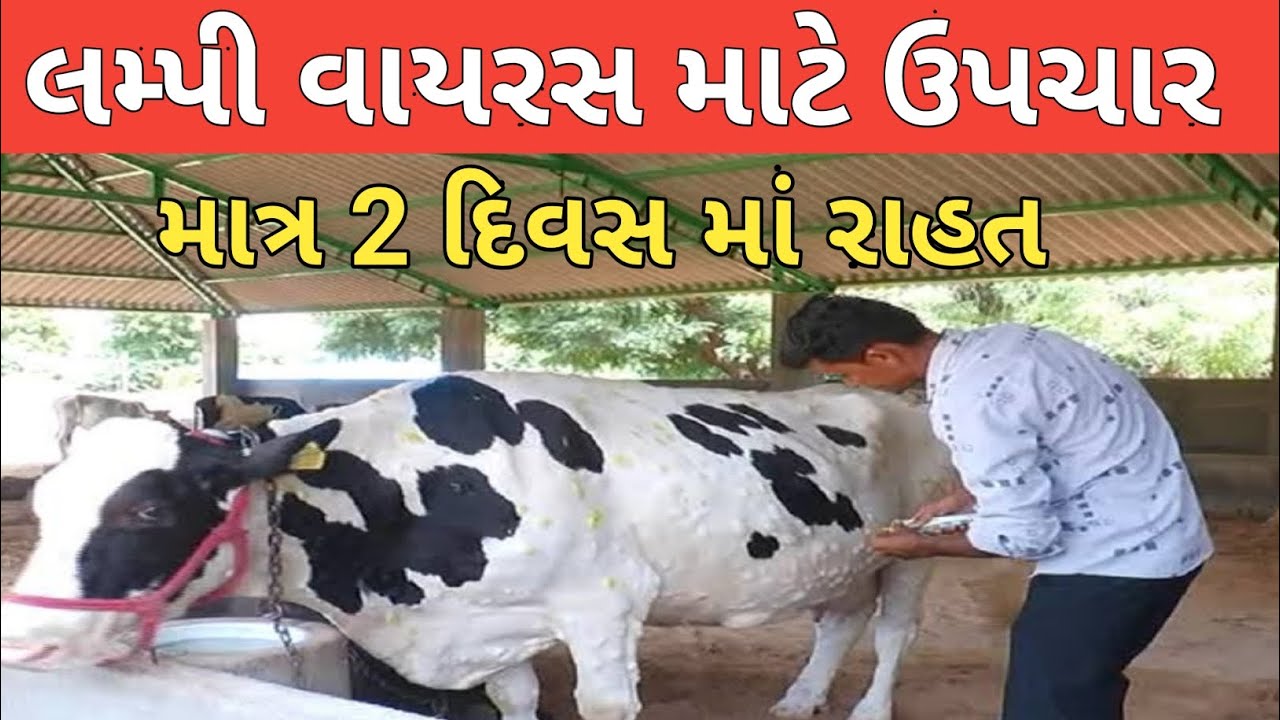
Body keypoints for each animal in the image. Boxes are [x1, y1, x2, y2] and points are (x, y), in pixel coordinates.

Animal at [51, 393, 183, 460]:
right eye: (167, 419)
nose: (179, 426)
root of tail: (57, 401)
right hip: (68, 422)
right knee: (60, 438)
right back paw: (64, 456)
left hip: (69, 425)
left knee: (62, 438)